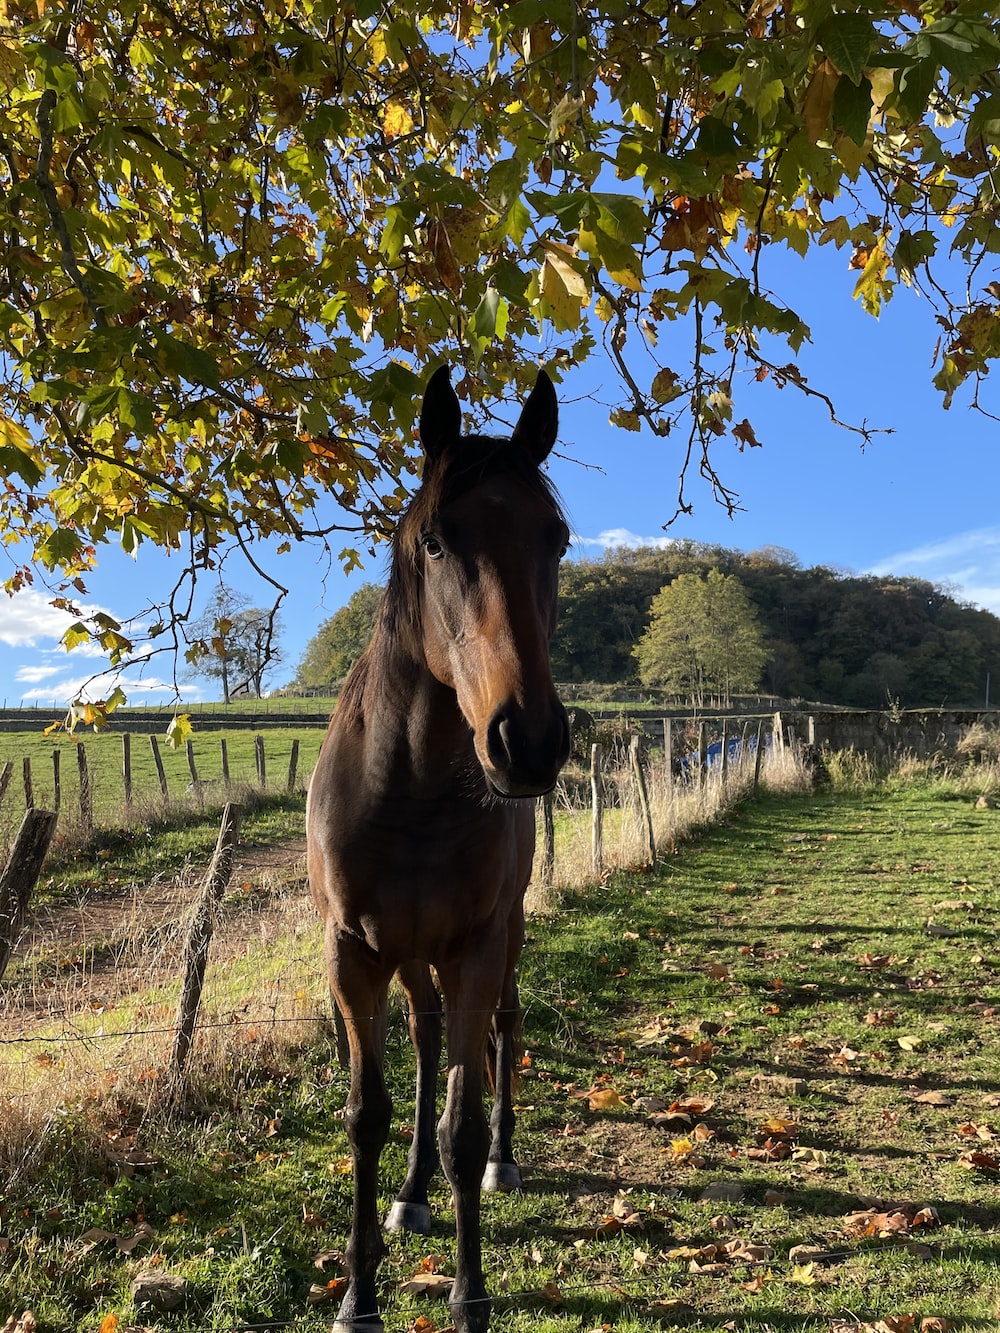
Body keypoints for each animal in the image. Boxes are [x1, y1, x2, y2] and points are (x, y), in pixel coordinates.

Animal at [306, 365, 571, 1333]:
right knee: (422, 1041)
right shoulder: (352, 954)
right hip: (407, 955)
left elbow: (461, 1116)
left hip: (498, 940)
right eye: (435, 543)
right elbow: (367, 1115)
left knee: (500, 1028)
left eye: (556, 541)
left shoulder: (476, 947)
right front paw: (359, 1294)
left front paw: (468, 1293)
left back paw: (500, 1161)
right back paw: (411, 1191)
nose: (527, 740)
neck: (410, 790)